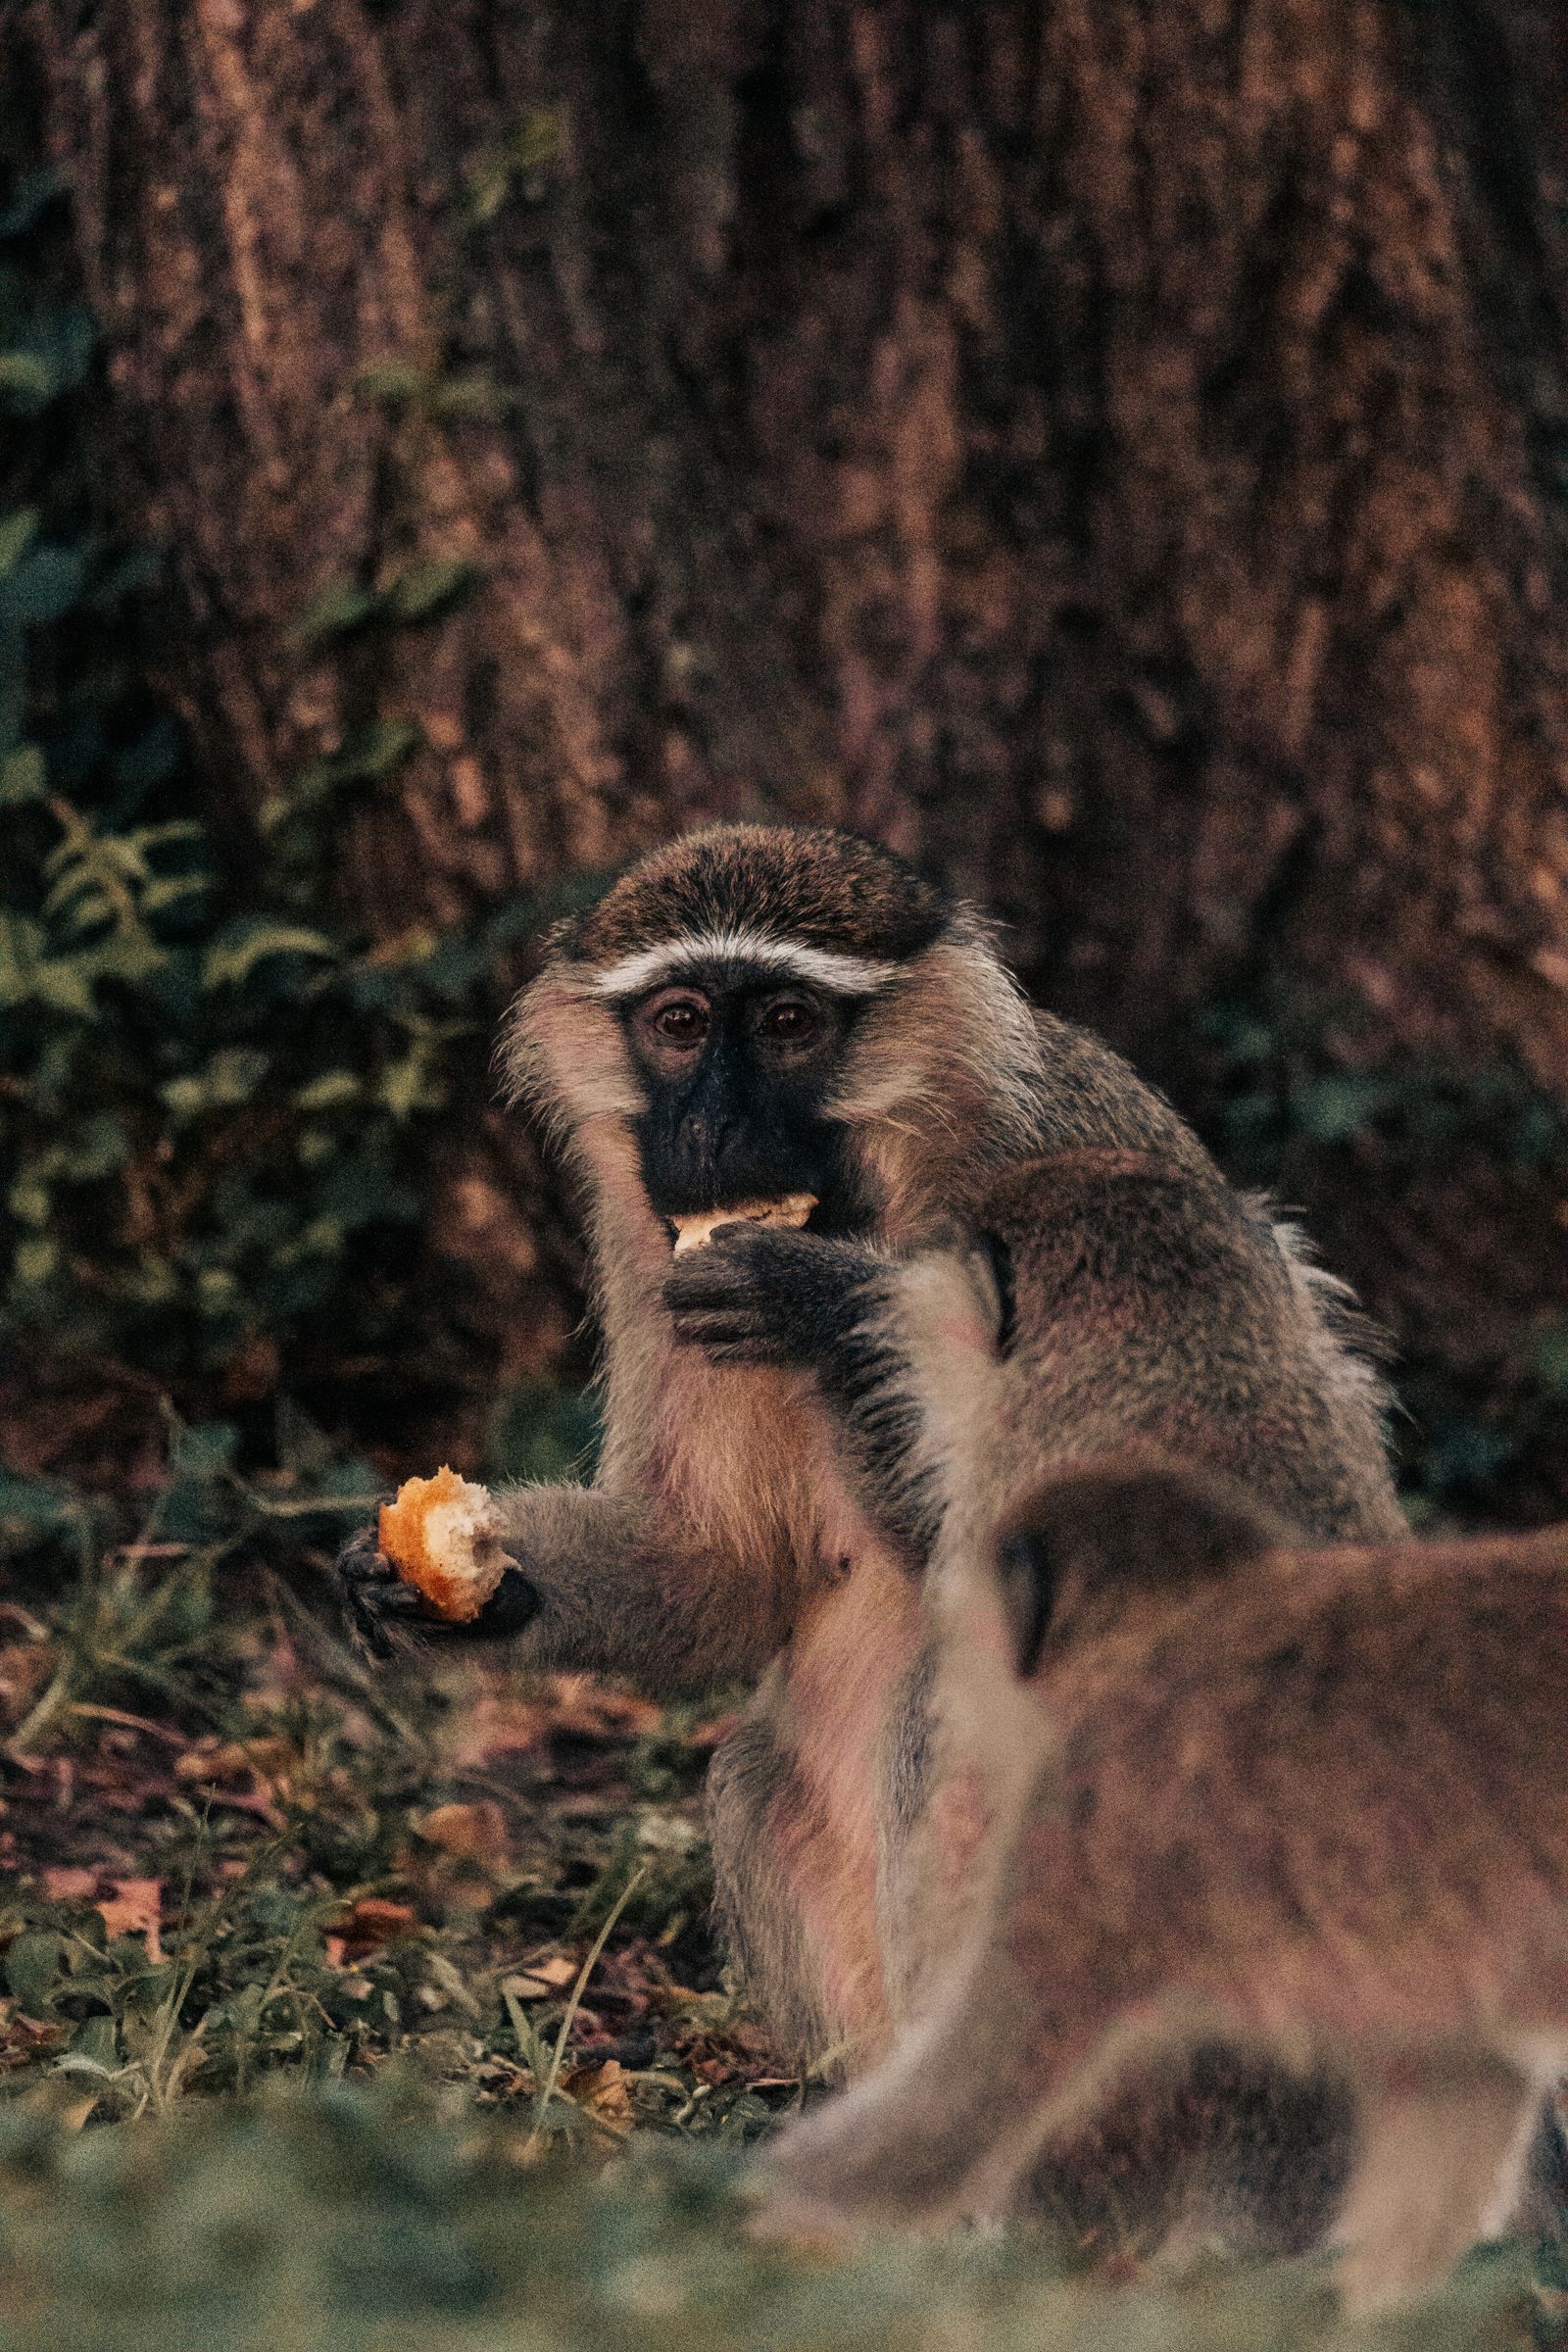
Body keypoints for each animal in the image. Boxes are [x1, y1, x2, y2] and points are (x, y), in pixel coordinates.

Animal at [335, 822, 1403, 2090]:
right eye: (680, 1022)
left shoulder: (1068, 1171)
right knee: (750, 1772)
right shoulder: (646, 1245)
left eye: (789, 1023)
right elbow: (721, 1571)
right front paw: (448, 1585)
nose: (710, 1132)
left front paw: (830, 1310)